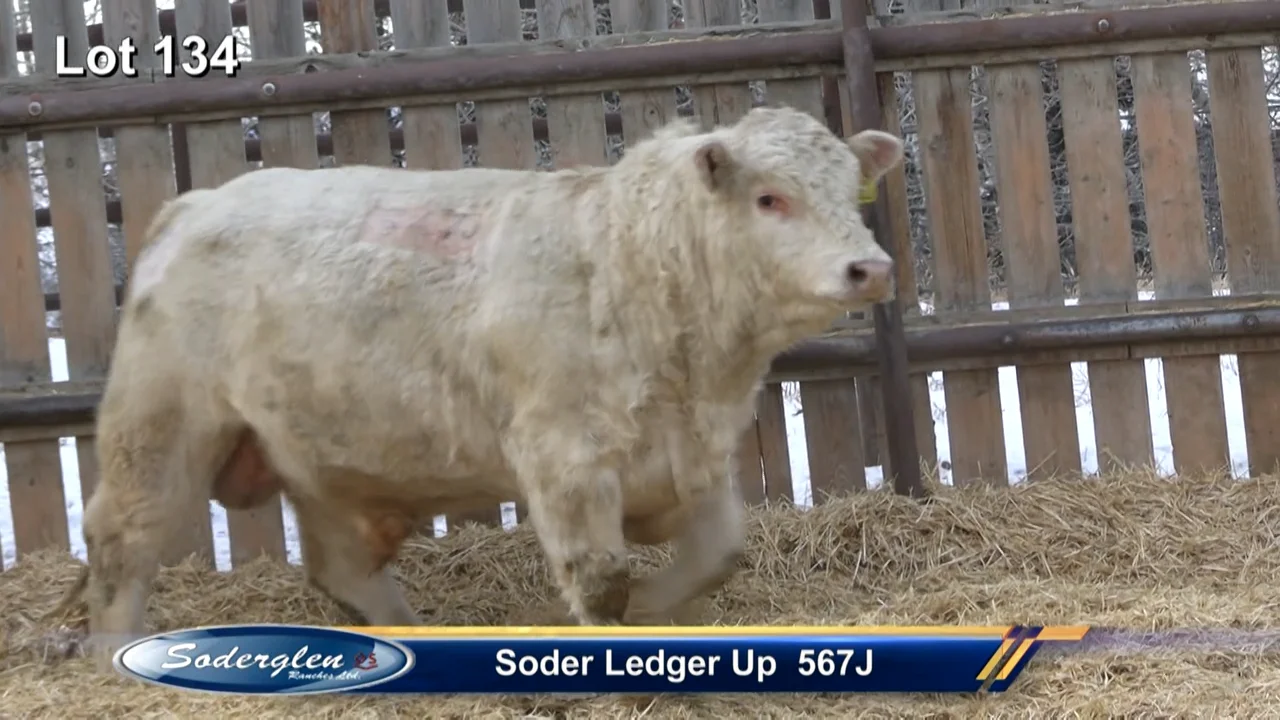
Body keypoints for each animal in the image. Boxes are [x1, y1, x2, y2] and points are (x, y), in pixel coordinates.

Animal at [73, 105, 904, 671]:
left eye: (851, 191)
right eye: (771, 199)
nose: (871, 267)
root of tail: (193, 206)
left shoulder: (691, 455)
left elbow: (719, 554)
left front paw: (651, 611)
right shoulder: (563, 457)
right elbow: (601, 580)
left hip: (323, 459)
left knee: (342, 566)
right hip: (159, 428)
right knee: (123, 541)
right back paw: (112, 659)